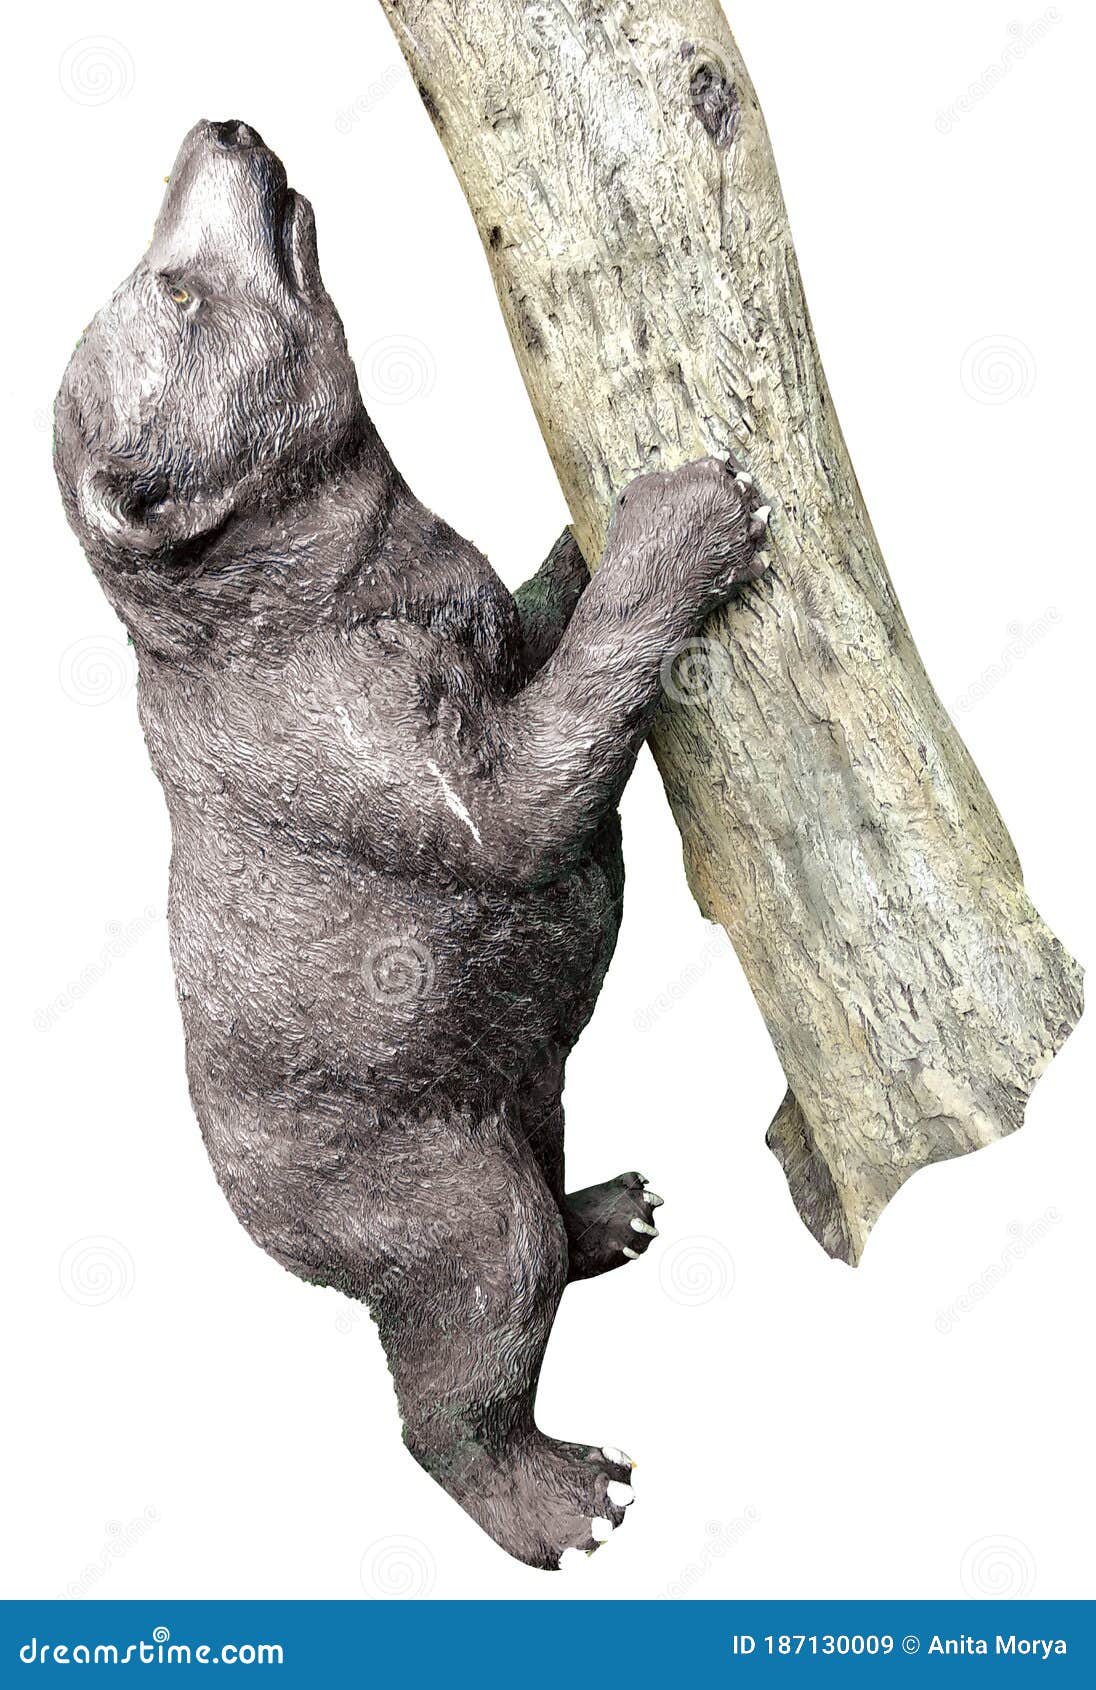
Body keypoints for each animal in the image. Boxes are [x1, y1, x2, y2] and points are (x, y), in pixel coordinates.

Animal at [54, 118, 767, 1569]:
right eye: (176, 291)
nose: (221, 129)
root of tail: (261, 1230)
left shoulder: (446, 605)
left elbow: (527, 623)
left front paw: (577, 528)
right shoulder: (338, 719)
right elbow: (514, 803)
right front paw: (688, 510)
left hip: (505, 1083)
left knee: (539, 1146)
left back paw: (608, 1208)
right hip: (392, 1165)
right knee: (479, 1296)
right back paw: (564, 1491)